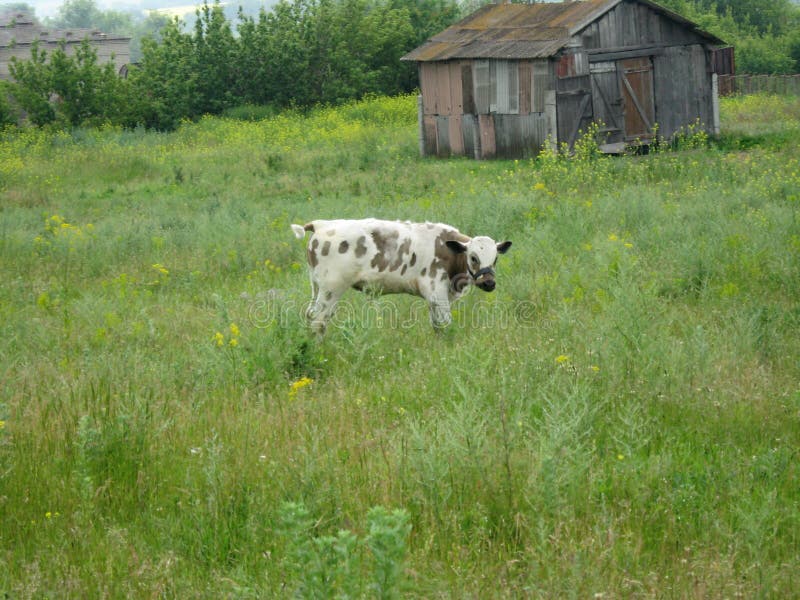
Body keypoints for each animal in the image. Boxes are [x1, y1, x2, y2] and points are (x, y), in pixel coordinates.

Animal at [291, 219, 511, 334]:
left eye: (495, 258)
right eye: (473, 257)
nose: (489, 283)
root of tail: (321, 224)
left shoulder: (435, 299)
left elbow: (437, 326)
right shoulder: (437, 293)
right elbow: (446, 323)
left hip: (317, 287)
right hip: (331, 289)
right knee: (319, 320)